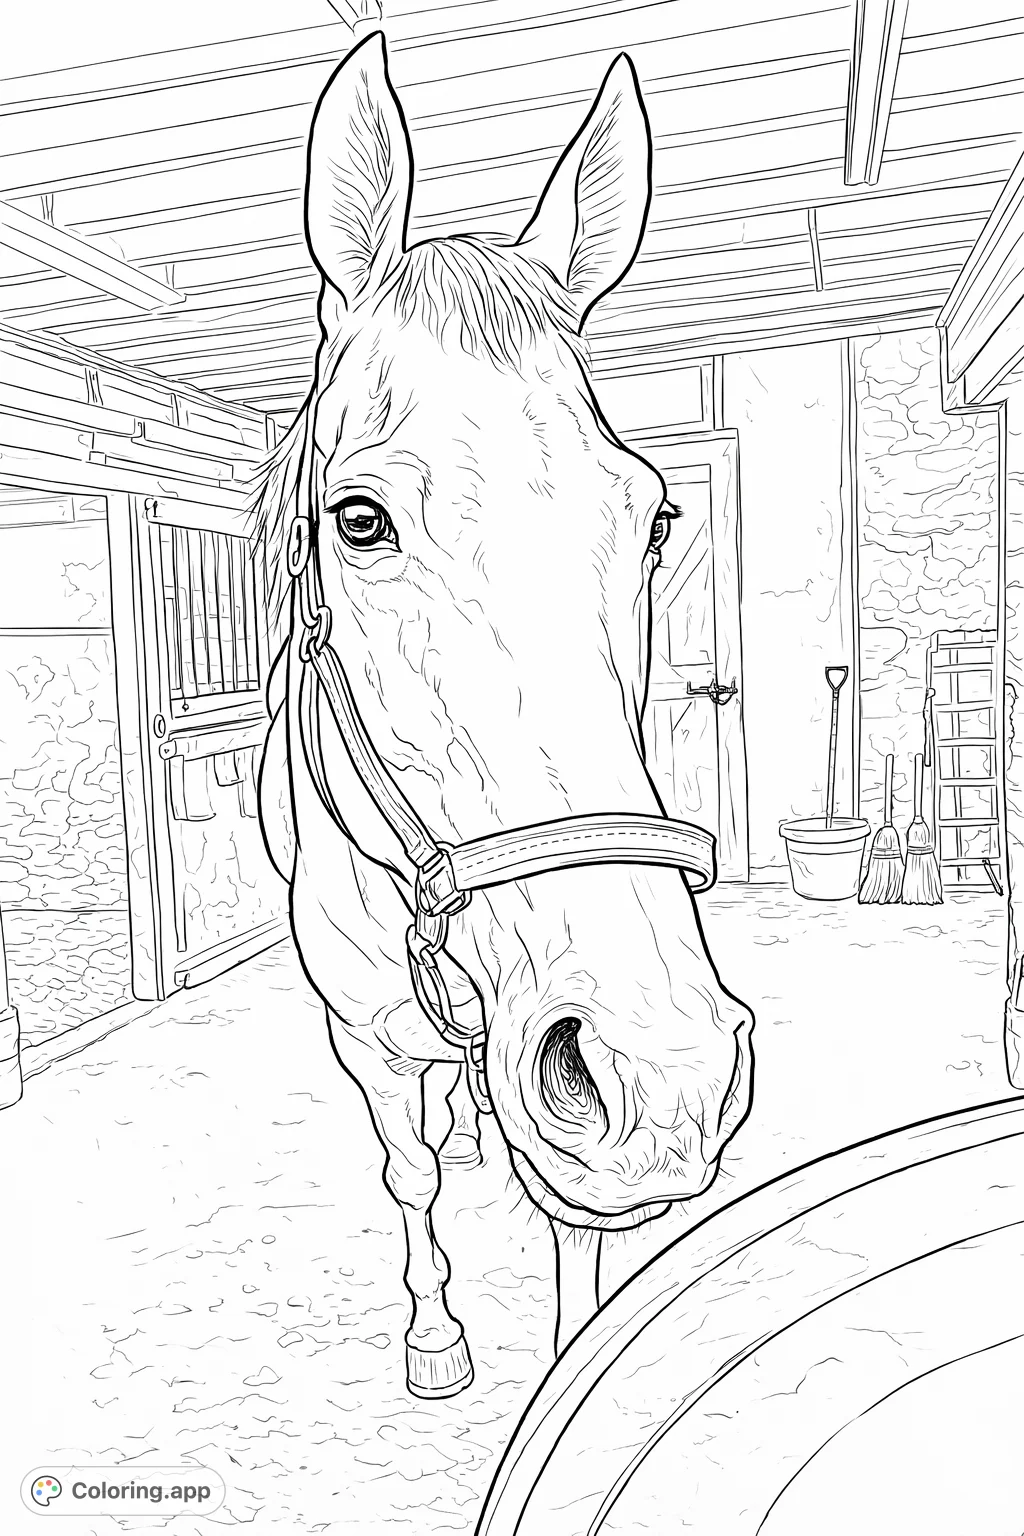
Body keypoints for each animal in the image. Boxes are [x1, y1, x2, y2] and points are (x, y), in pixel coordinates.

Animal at [256, 30, 754, 1400]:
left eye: (655, 518)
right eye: (357, 518)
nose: (663, 1068)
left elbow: (572, 1228)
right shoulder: (365, 1038)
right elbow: (407, 1172)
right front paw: (436, 1338)